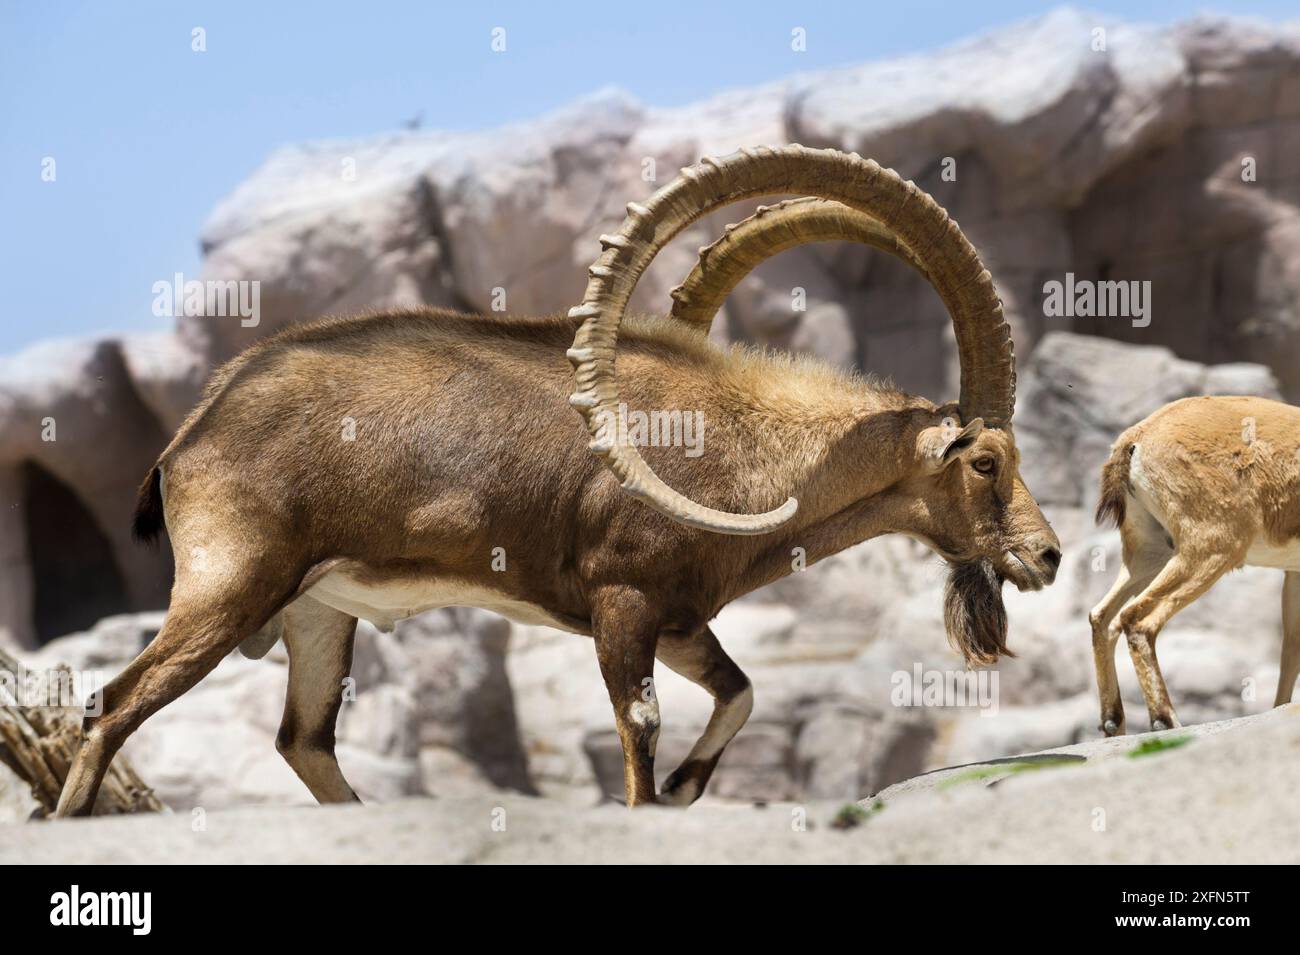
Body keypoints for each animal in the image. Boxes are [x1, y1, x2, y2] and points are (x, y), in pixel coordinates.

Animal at [55, 145, 1060, 815]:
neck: (744, 446)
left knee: (303, 741)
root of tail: (190, 436)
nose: (1047, 555)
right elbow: (640, 727)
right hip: (228, 587)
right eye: (986, 459)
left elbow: (739, 693)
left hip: (316, 615)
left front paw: (689, 788)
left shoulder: (679, 619)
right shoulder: (622, 605)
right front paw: (655, 799)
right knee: (111, 709)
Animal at [1091, 394, 1300, 735]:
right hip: (1211, 549)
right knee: (1137, 619)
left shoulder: (1294, 571)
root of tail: (1136, 439)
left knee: (1102, 616)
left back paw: (1113, 722)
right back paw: (1165, 720)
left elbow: (1291, 644)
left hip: (1150, 552)